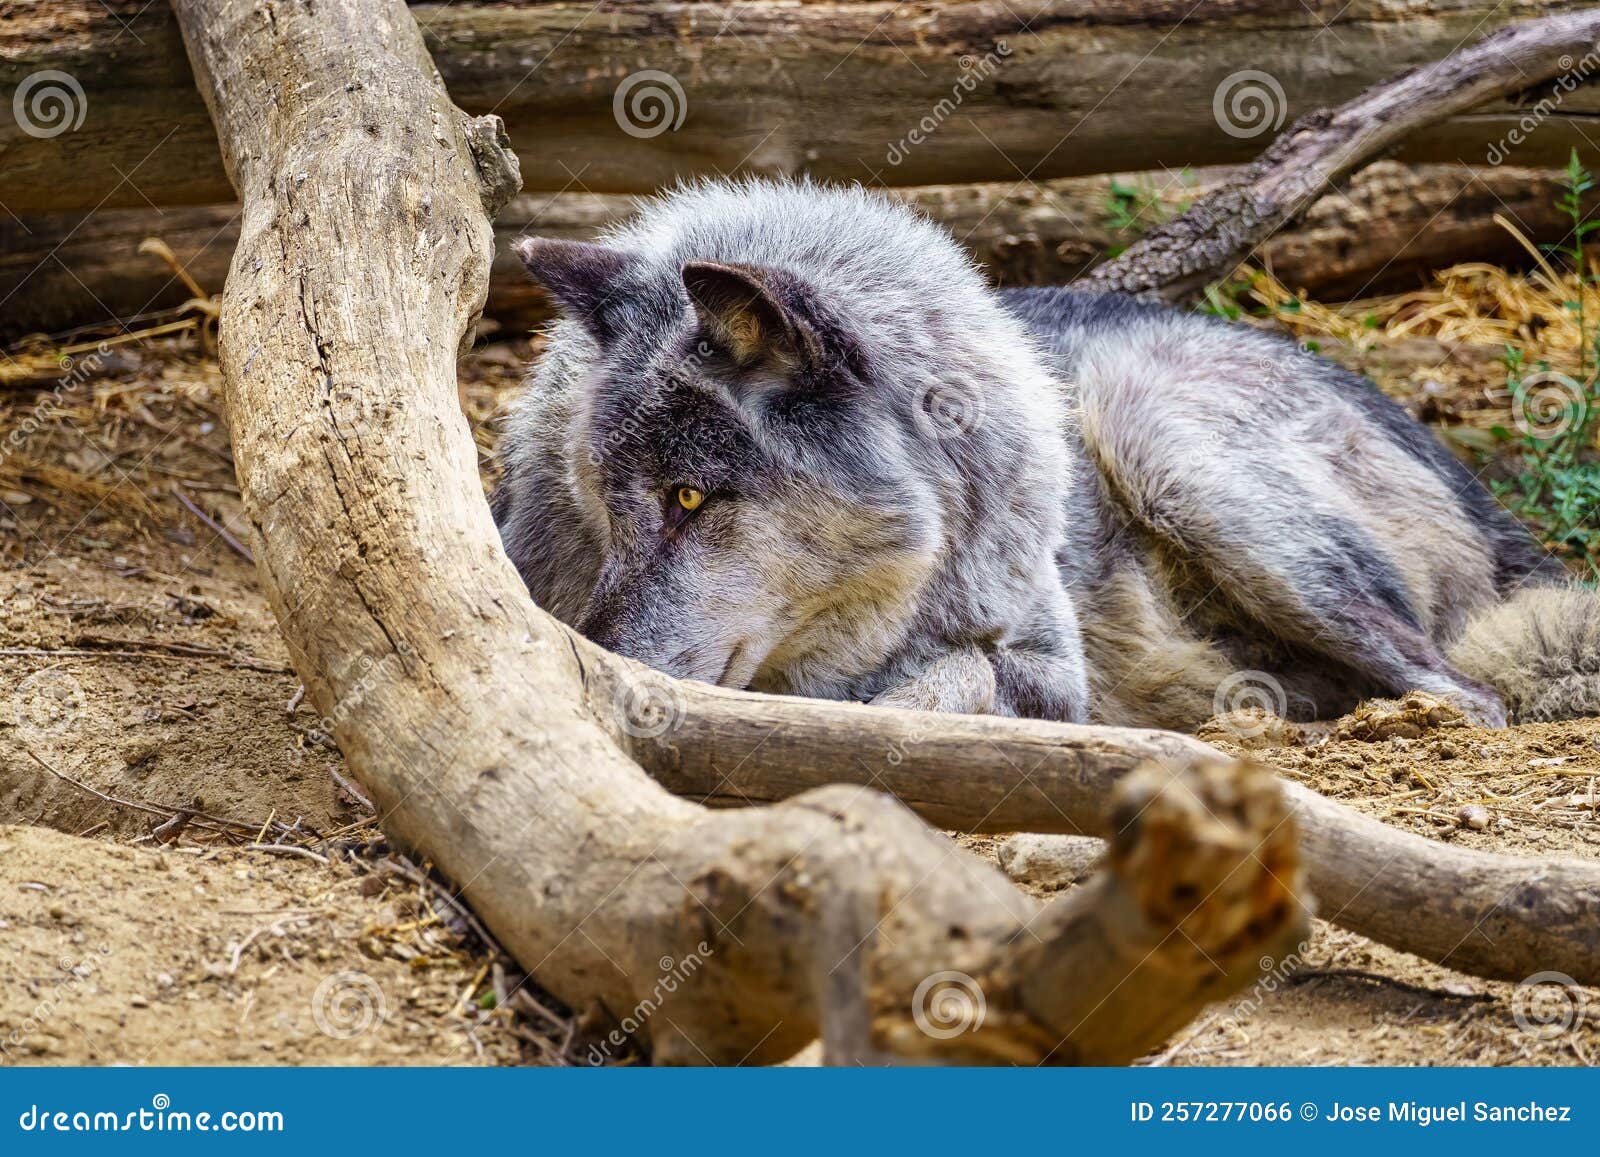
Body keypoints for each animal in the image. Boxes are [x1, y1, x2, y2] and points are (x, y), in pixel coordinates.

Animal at [492, 179, 1600, 731]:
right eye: (605, 509)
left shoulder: (1045, 671)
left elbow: (948, 687)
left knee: (1470, 692)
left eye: (689, 497)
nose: (590, 660)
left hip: (1174, 450)